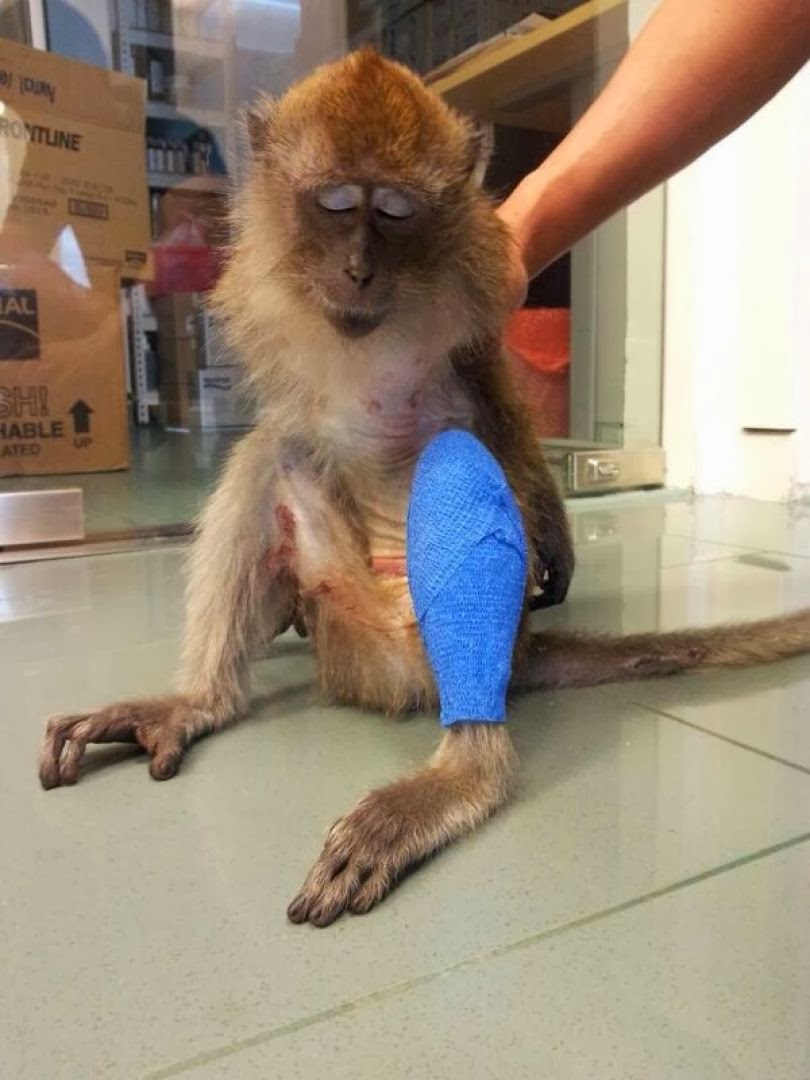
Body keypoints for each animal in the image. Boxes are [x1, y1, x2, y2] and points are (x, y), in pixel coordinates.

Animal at [39, 49, 810, 929]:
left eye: (396, 213)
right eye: (337, 205)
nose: (358, 267)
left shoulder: (479, 289)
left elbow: (493, 402)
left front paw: (554, 531)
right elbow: (287, 426)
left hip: (412, 647)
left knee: (457, 464)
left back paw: (467, 770)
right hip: (342, 613)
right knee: (270, 455)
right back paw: (202, 702)